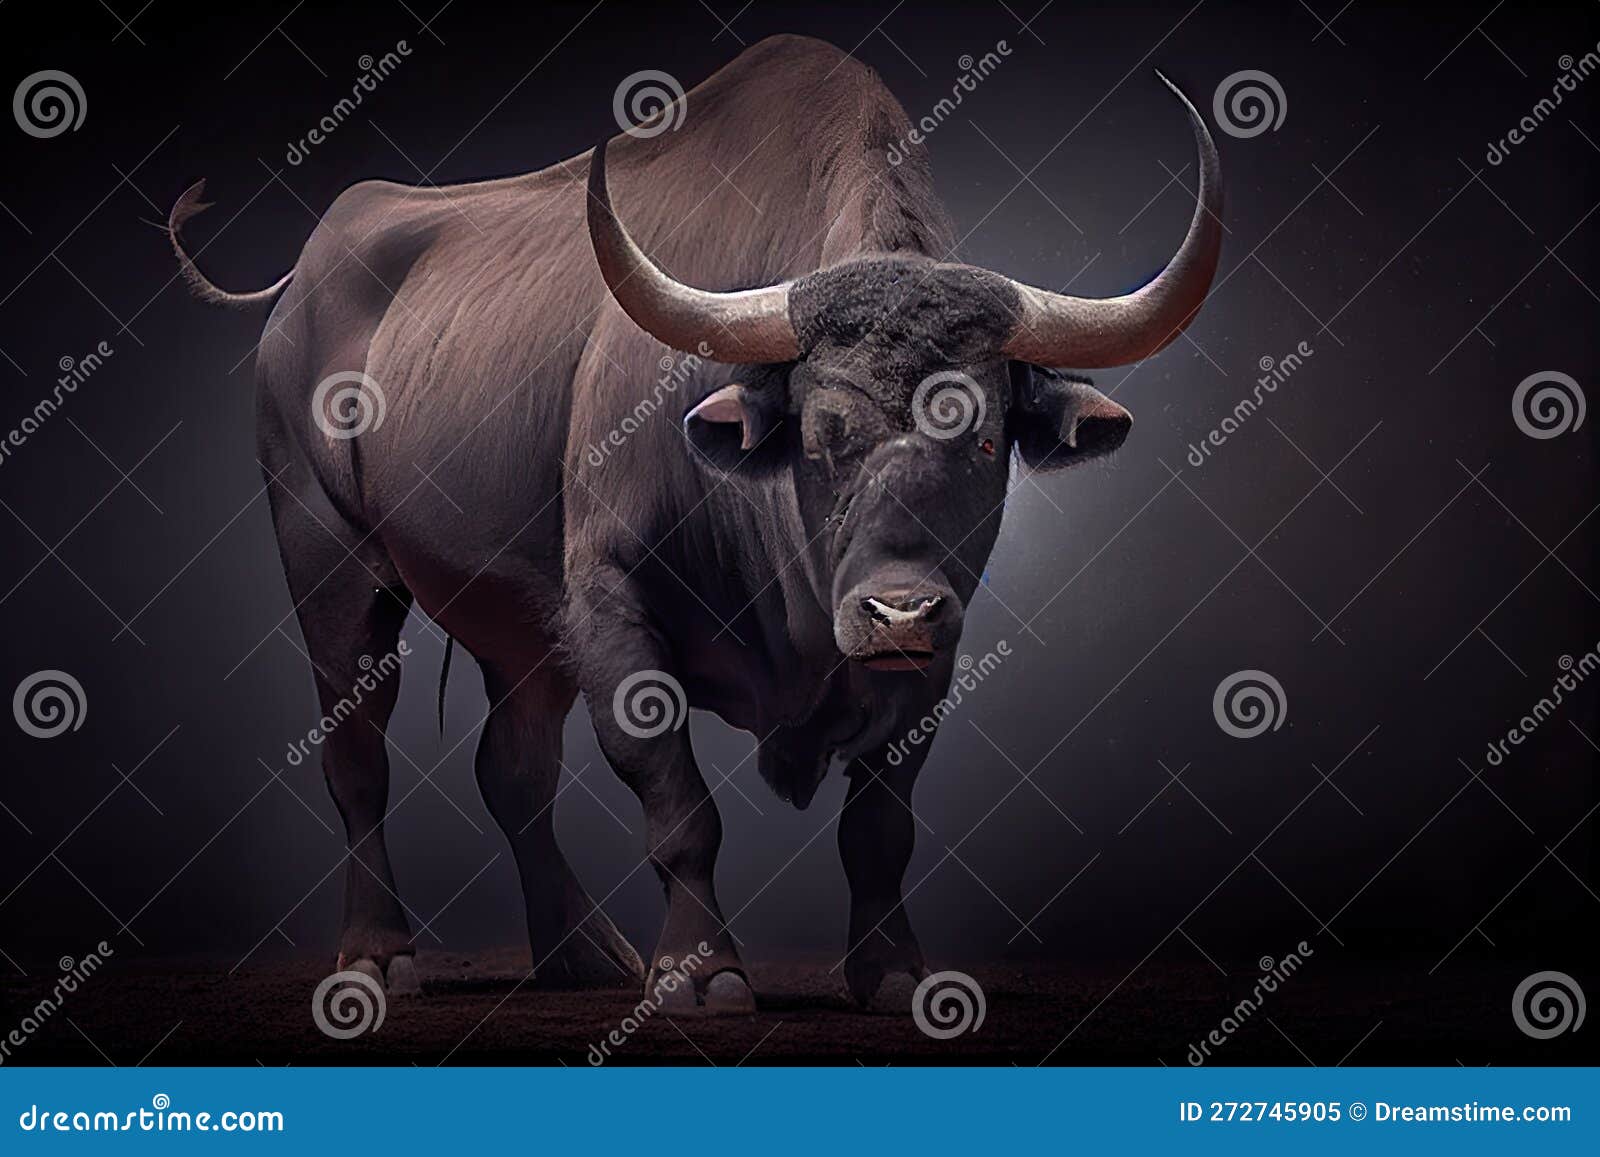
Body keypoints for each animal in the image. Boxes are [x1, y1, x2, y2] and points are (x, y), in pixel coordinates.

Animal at [168, 34, 1221, 1014]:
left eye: (987, 434)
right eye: (822, 433)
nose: (898, 611)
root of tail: (307, 276)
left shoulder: (931, 661)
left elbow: (880, 825)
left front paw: (891, 970)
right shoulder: (609, 604)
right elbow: (677, 799)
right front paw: (700, 969)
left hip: (521, 624)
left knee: (513, 767)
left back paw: (580, 952)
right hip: (330, 558)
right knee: (359, 757)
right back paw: (379, 954)